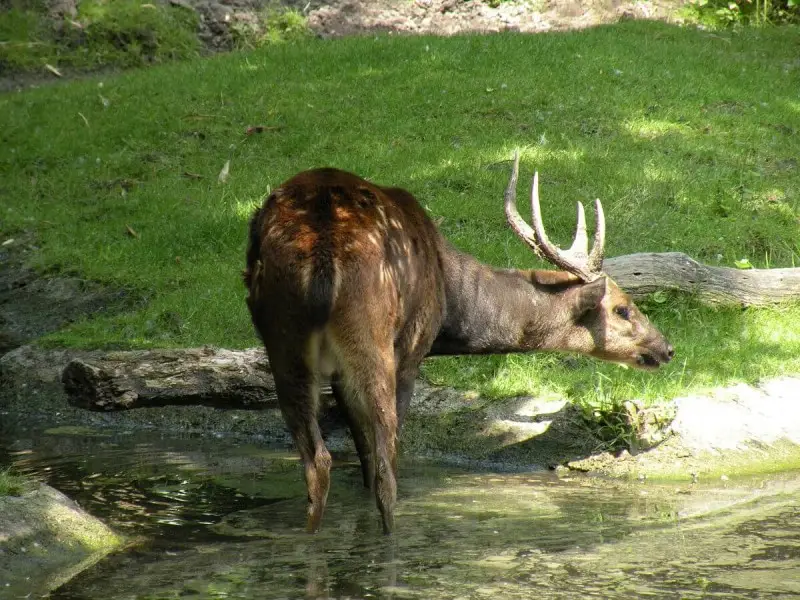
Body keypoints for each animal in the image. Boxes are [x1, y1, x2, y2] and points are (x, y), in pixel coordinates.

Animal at [243, 151, 673, 535]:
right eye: (622, 309)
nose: (666, 348)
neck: (450, 298)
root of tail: (322, 249)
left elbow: (360, 456)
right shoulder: (411, 352)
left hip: (283, 342)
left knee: (317, 461)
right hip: (374, 336)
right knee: (385, 470)